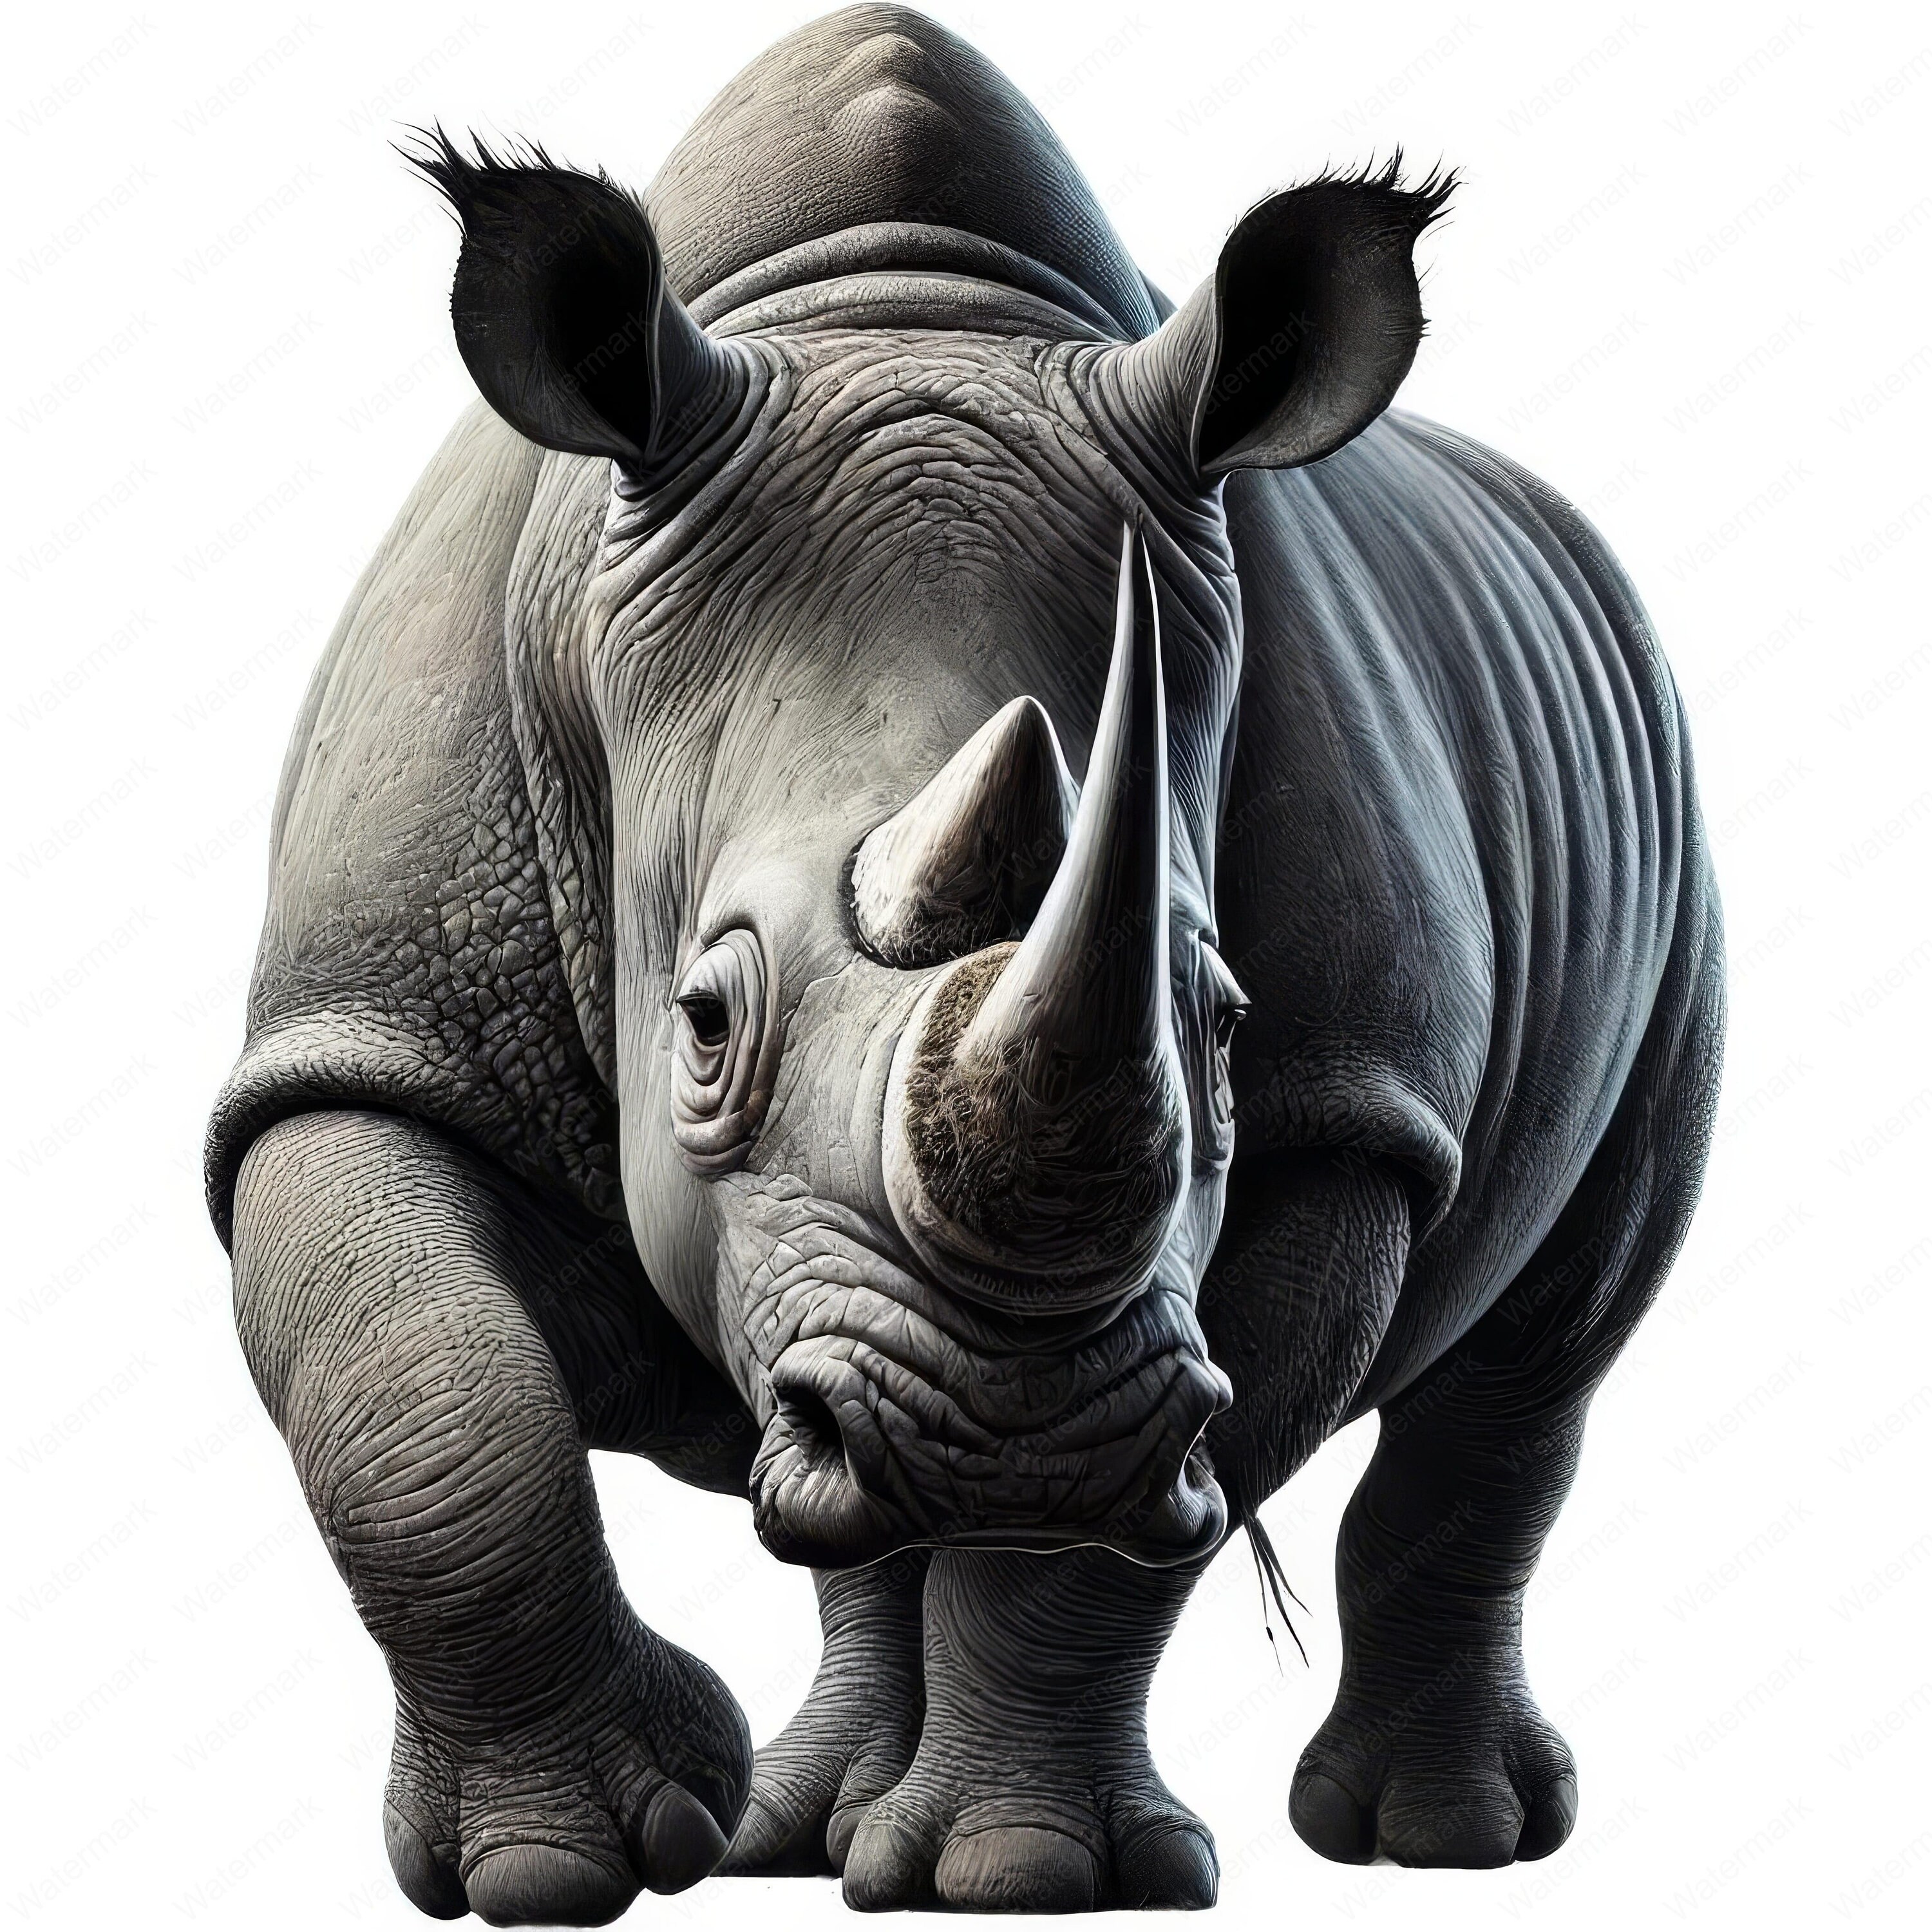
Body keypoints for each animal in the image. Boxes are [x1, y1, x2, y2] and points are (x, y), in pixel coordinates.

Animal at [210, 6, 1724, 1920]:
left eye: (1221, 1027)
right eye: (701, 1024)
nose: (1018, 1435)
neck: (884, 310)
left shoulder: (1348, 1112)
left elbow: (1134, 1521)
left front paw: (1019, 1872)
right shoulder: (366, 1024)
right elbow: (419, 1392)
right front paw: (573, 1863)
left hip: (1665, 803)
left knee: (1547, 1348)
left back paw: (1435, 1841)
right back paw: (791, 1829)